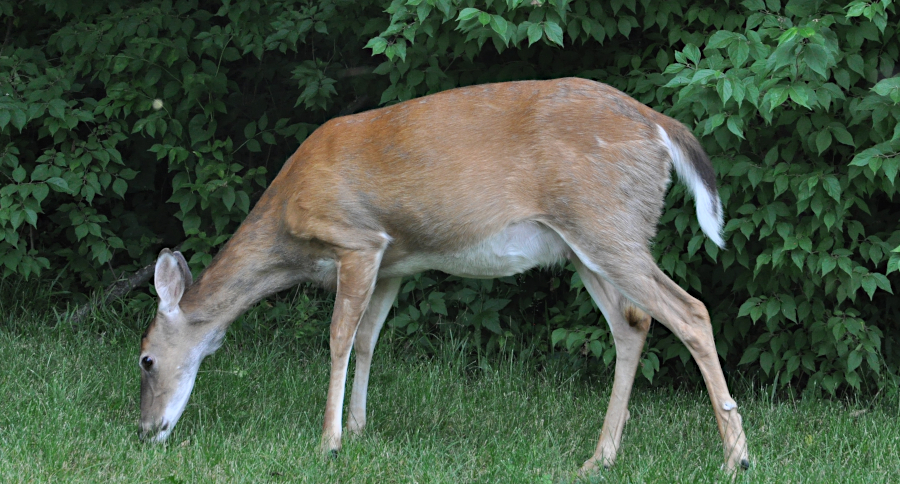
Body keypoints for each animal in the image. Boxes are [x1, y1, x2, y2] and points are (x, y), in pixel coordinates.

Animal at [138, 77, 750, 473]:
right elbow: (368, 339)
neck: (289, 225)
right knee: (633, 324)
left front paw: (328, 443)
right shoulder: (393, 262)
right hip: (584, 244)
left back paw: (735, 457)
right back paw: (598, 459)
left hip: (607, 223)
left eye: (144, 359)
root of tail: (659, 124)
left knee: (691, 311)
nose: (145, 431)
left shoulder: (357, 239)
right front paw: (358, 430)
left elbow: (338, 338)